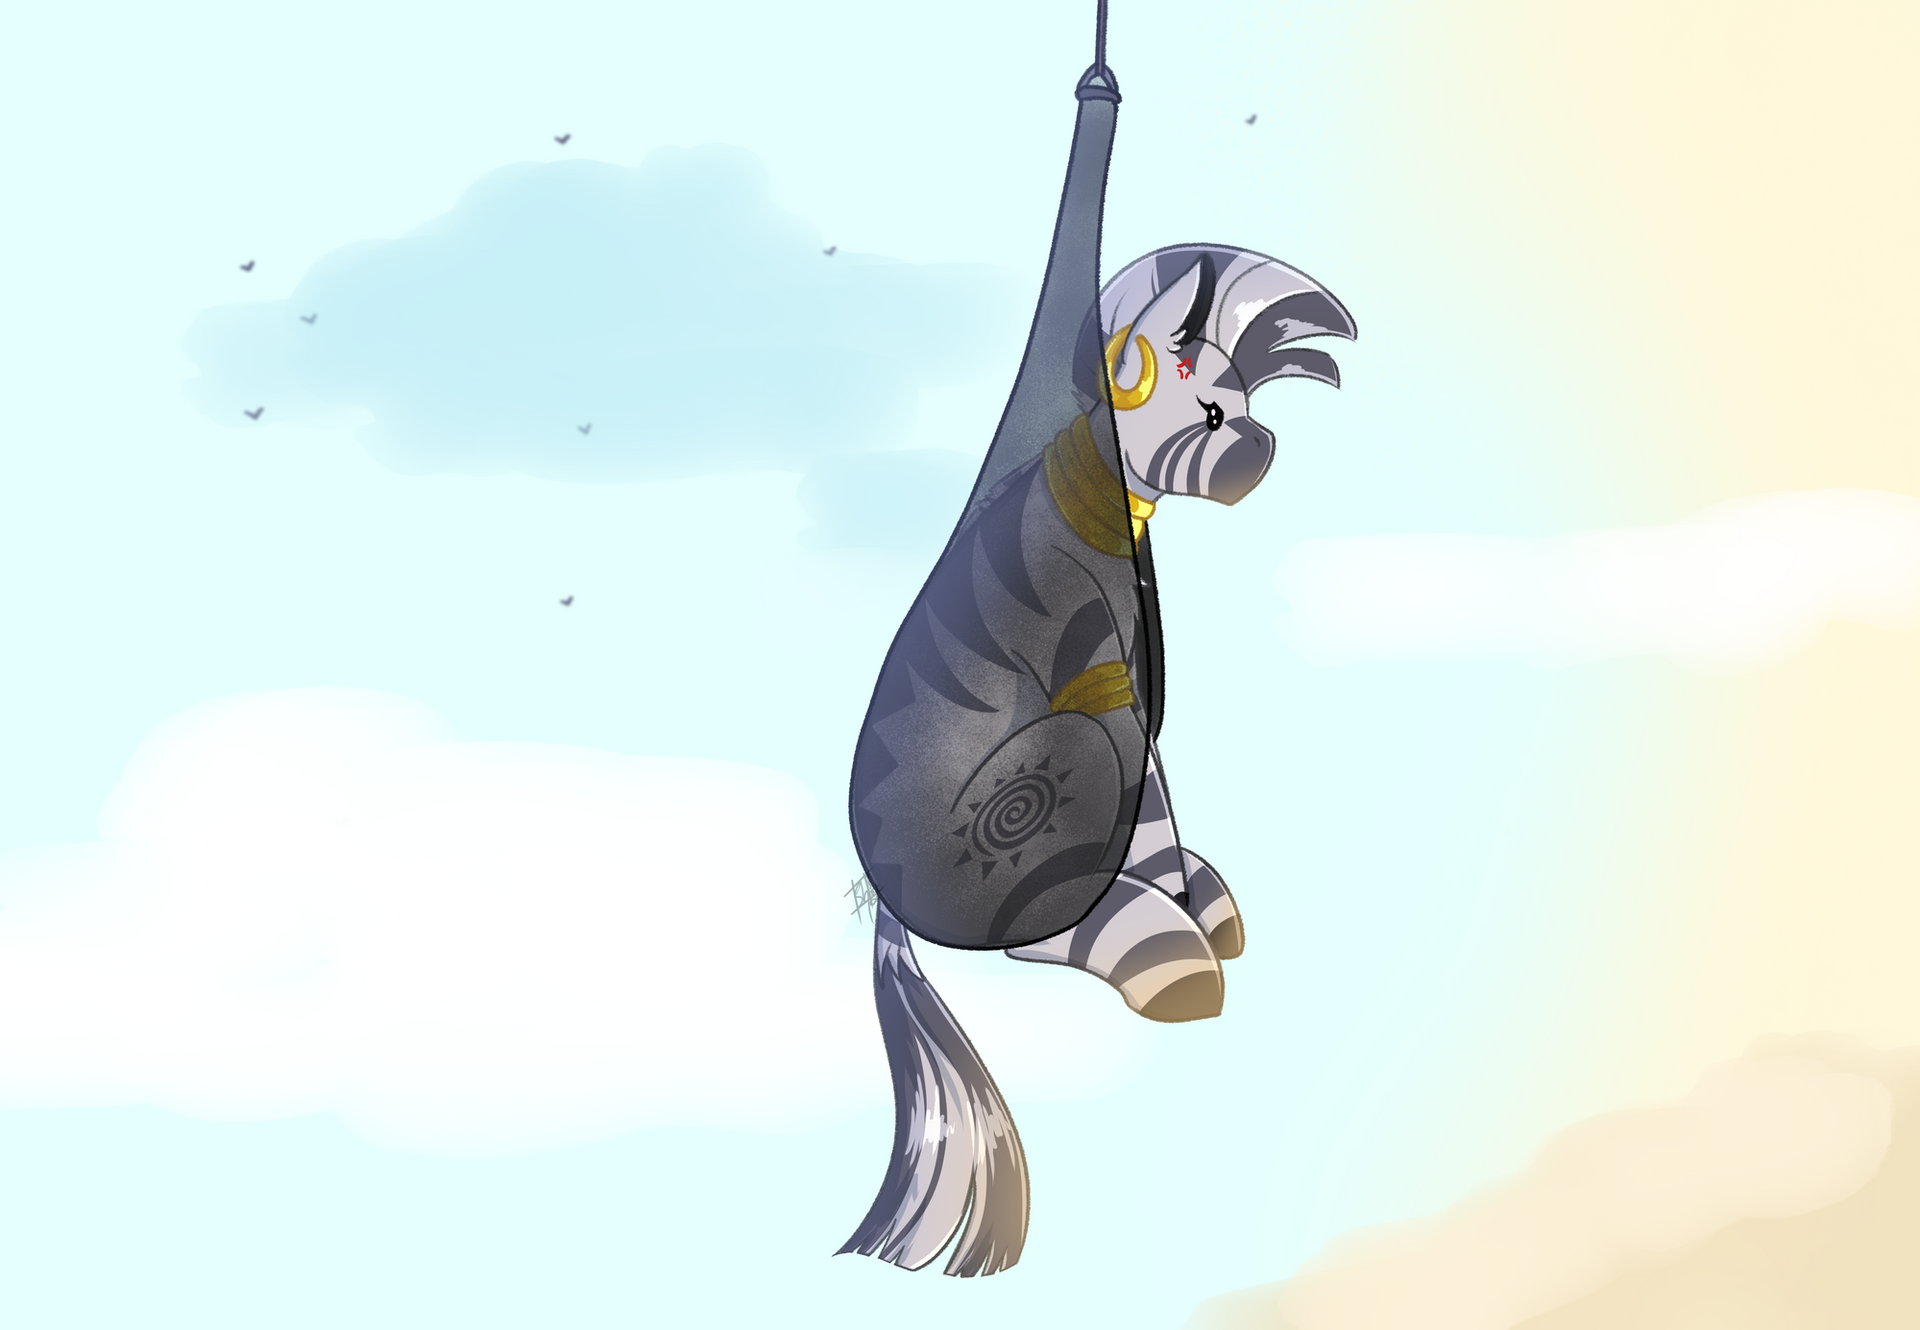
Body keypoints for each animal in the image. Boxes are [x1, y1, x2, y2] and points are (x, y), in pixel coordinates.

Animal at [838, 243, 1355, 1275]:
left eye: (1243, 401)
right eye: (1207, 405)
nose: (1254, 451)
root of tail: (891, 906)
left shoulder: (1134, 688)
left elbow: (1152, 805)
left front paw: (1188, 899)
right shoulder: (1097, 678)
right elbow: (1132, 806)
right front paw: (1172, 929)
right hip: (1025, 790)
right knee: (1030, 924)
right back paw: (1164, 958)